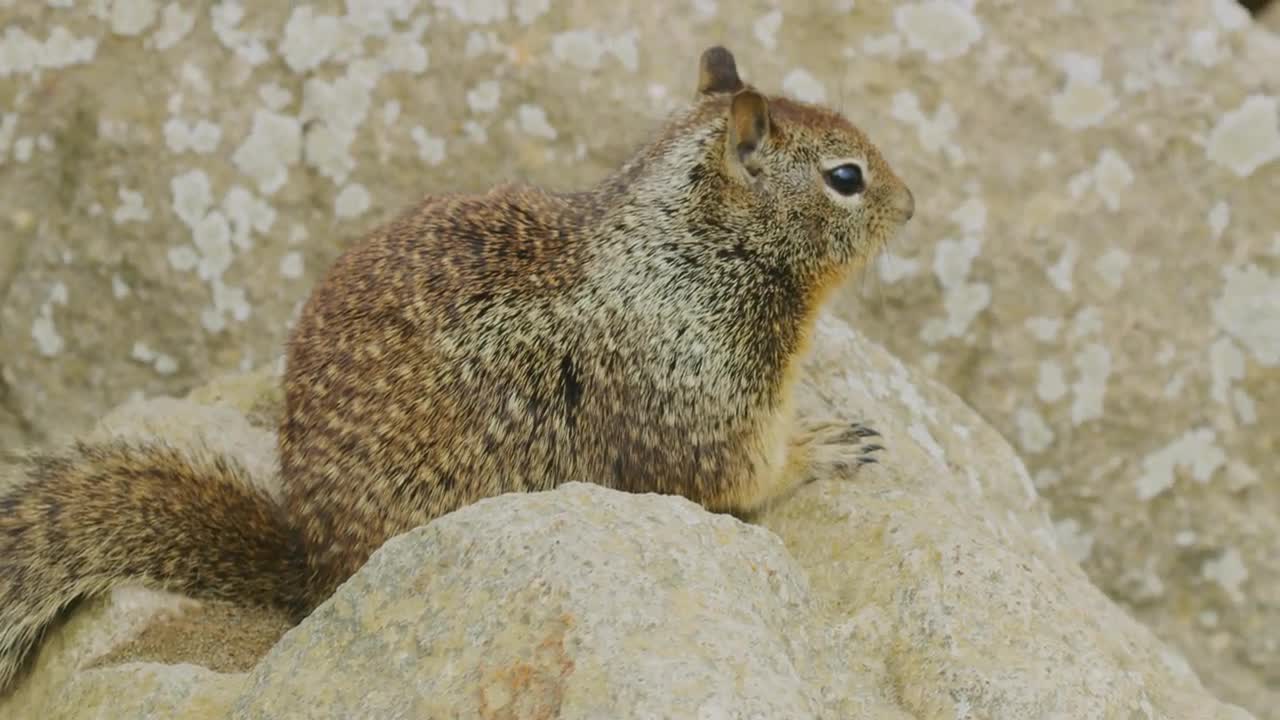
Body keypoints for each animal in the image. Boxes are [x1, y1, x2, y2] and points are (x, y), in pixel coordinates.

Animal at [0, 46, 913, 694]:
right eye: (845, 177)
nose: (911, 207)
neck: (690, 245)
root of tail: (311, 565)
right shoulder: (699, 386)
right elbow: (738, 476)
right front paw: (824, 444)